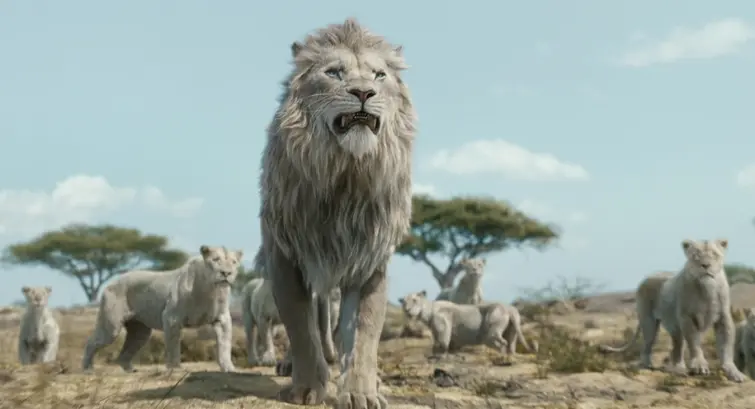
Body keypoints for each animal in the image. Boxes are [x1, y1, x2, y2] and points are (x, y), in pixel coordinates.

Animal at [81, 245, 243, 373]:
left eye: (234, 262)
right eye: (216, 259)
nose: (226, 273)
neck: (210, 290)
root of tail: (109, 284)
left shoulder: (222, 320)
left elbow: (224, 345)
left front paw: (229, 368)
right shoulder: (171, 318)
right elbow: (173, 346)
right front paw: (175, 368)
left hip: (140, 332)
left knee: (124, 353)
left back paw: (130, 370)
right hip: (111, 327)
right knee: (91, 343)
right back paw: (87, 369)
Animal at [258, 17, 416, 408]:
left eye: (379, 75)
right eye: (334, 72)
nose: (363, 93)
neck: (346, 174)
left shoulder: (370, 258)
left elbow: (363, 331)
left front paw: (361, 392)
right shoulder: (285, 254)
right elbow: (300, 325)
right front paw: (307, 388)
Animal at [399, 290, 536, 358]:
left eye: (414, 300)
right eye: (404, 302)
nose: (407, 310)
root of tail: (510, 309)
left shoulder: (443, 328)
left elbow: (442, 344)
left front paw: (439, 355)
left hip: (491, 332)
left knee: (502, 343)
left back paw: (501, 357)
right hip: (512, 331)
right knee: (511, 346)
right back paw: (510, 356)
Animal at [598, 239, 745, 382]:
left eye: (714, 254)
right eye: (696, 256)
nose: (706, 265)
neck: (707, 289)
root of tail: (647, 277)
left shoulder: (723, 317)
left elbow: (726, 345)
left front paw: (733, 371)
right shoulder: (687, 317)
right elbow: (694, 344)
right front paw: (699, 365)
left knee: (677, 347)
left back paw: (679, 368)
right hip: (652, 322)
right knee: (651, 345)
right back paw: (656, 366)